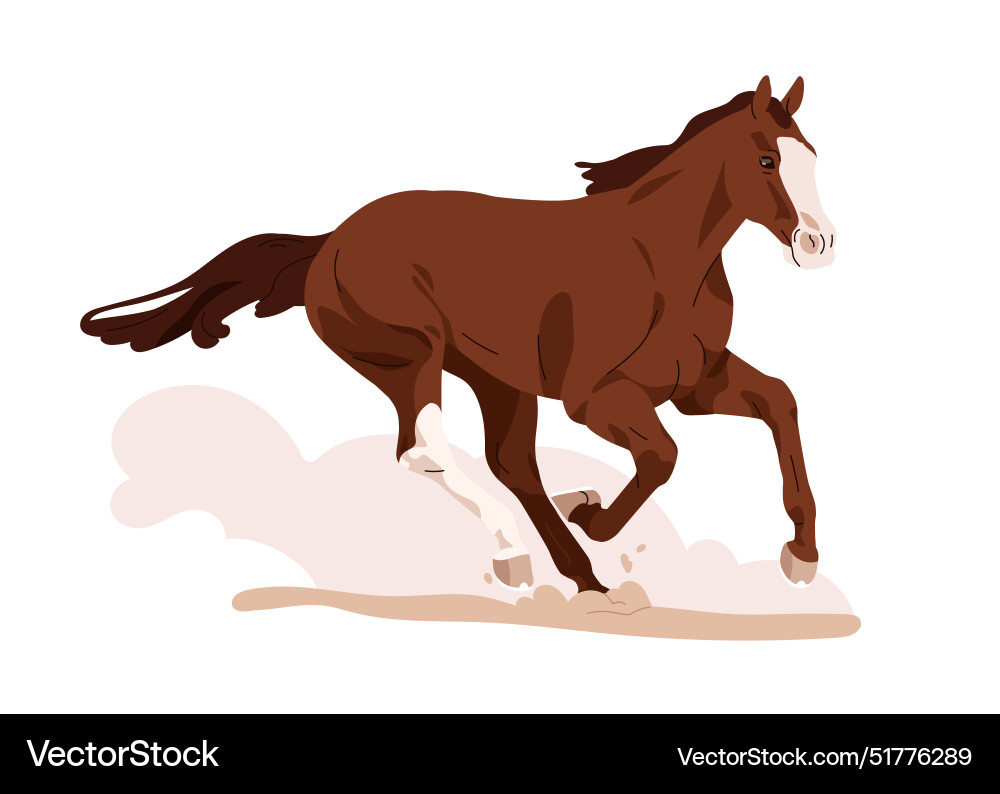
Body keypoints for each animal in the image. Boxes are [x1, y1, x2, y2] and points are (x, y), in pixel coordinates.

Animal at [81, 76, 836, 594]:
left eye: (812, 154)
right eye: (767, 161)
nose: (819, 243)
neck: (658, 261)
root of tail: (330, 242)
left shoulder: (695, 386)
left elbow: (781, 400)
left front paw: (801, 556)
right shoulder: (596, 399)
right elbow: (662, 457)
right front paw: (596, 518)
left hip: (493, 376)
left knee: (511, 462)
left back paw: (582, 575)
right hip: (409, 358)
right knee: (425, 450)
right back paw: (521, 556)